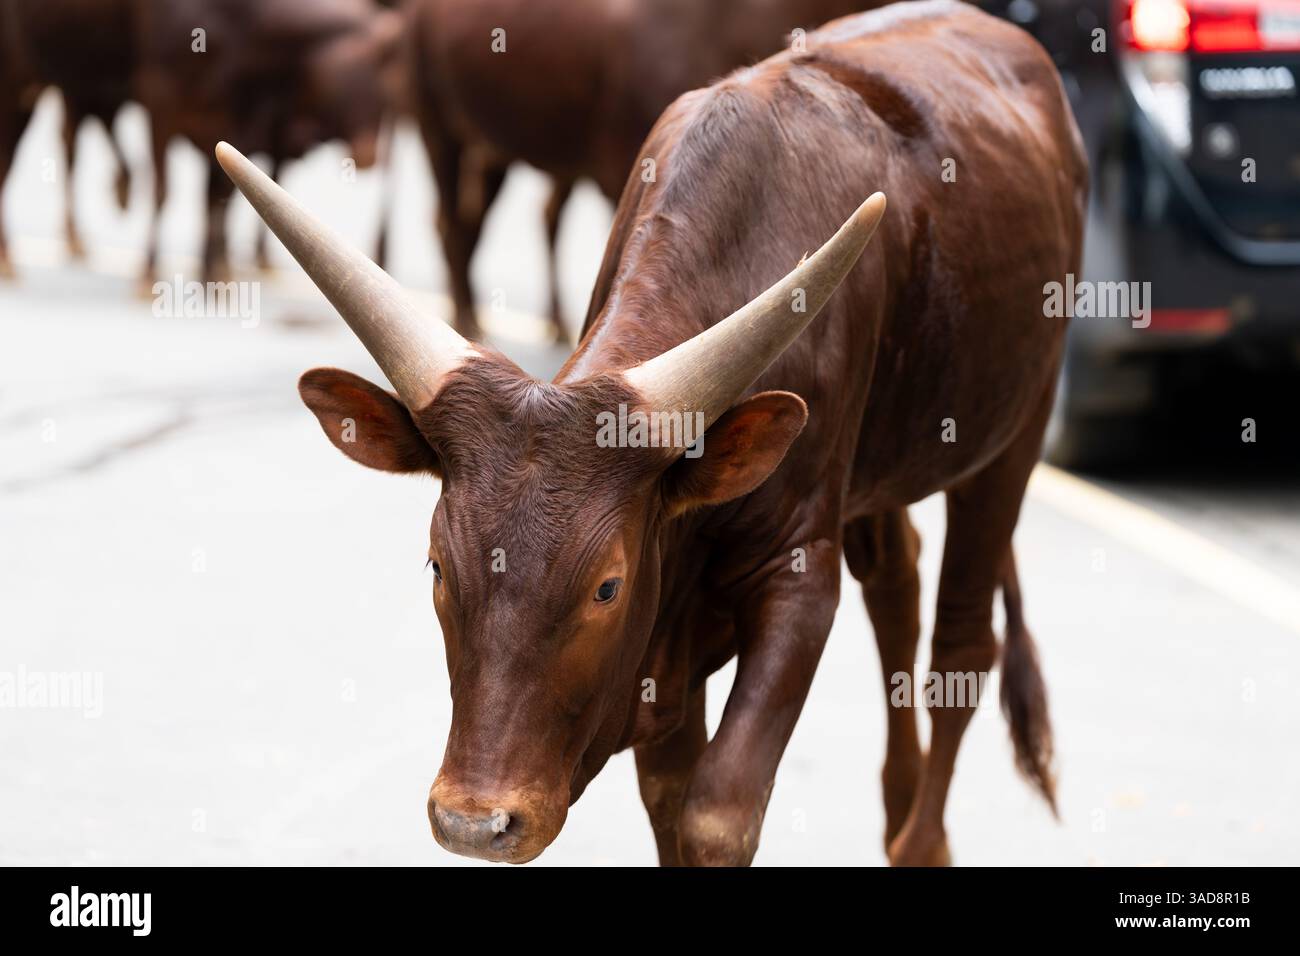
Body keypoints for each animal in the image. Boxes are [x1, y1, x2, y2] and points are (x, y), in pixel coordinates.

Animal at [131, 0, 404, 287]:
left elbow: (218, 199)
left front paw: (217, 274)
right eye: (373, 79)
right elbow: (162, 191)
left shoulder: (245, 127)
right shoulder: (160, 103)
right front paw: (149, 273)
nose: (370, 157)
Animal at [405, 0, 891, 342]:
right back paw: (468, 322)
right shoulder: (619, 160)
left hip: (494, 149)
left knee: (490, 220)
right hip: (436, 121)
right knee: (452, 223)